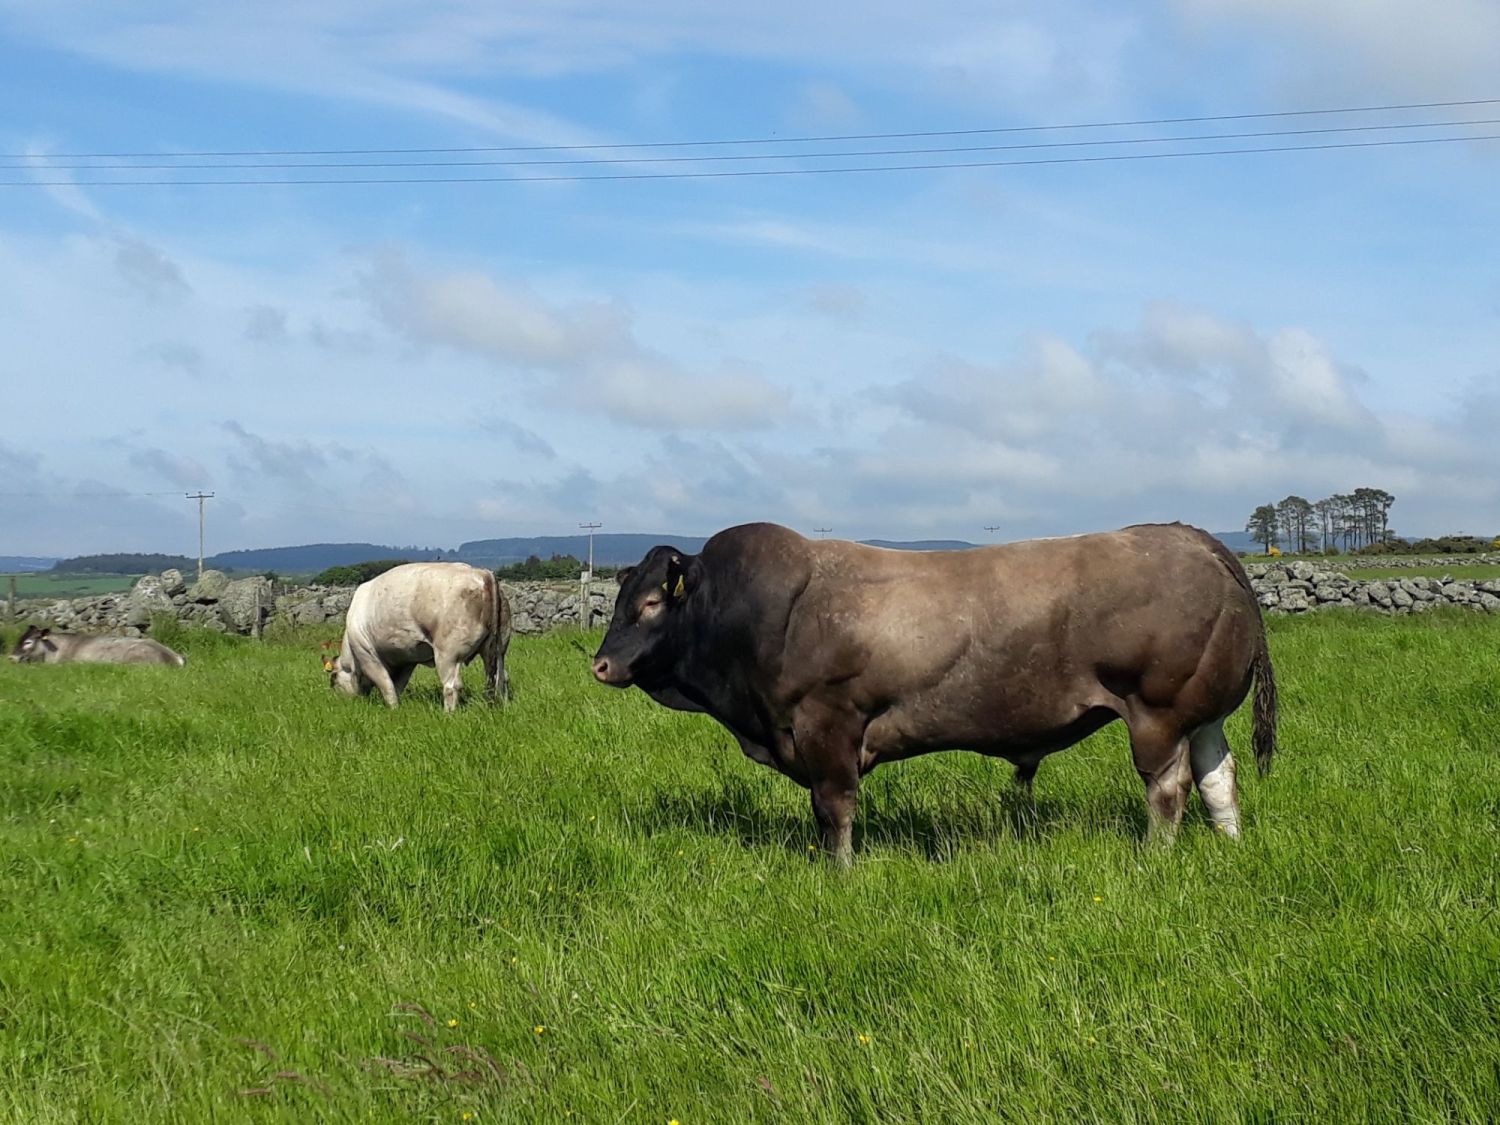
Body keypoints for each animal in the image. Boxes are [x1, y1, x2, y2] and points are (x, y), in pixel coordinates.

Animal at [325, 562, 511, 712]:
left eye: (333, 678)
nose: (338, 699)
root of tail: (482, 573)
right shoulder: (407, 659)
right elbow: (397, 685)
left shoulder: (368, 655)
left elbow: (386, 685)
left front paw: (393, 710)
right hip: (498, 650)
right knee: (500, 678)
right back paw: (500, 706)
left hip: (448, 654)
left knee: (452, 685)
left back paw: (448, 714)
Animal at [592, 522, 1277, 865]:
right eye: (618, 600)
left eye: (650, 604)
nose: (600, 665)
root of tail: (1189, 538)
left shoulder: (827, 726)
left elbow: (834, 810)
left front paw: (840, 873)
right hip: (1203, 716)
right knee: (1219, 779)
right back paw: (1230, 846)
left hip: (1157, 714)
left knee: (1169, 788)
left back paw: (1154, 858)